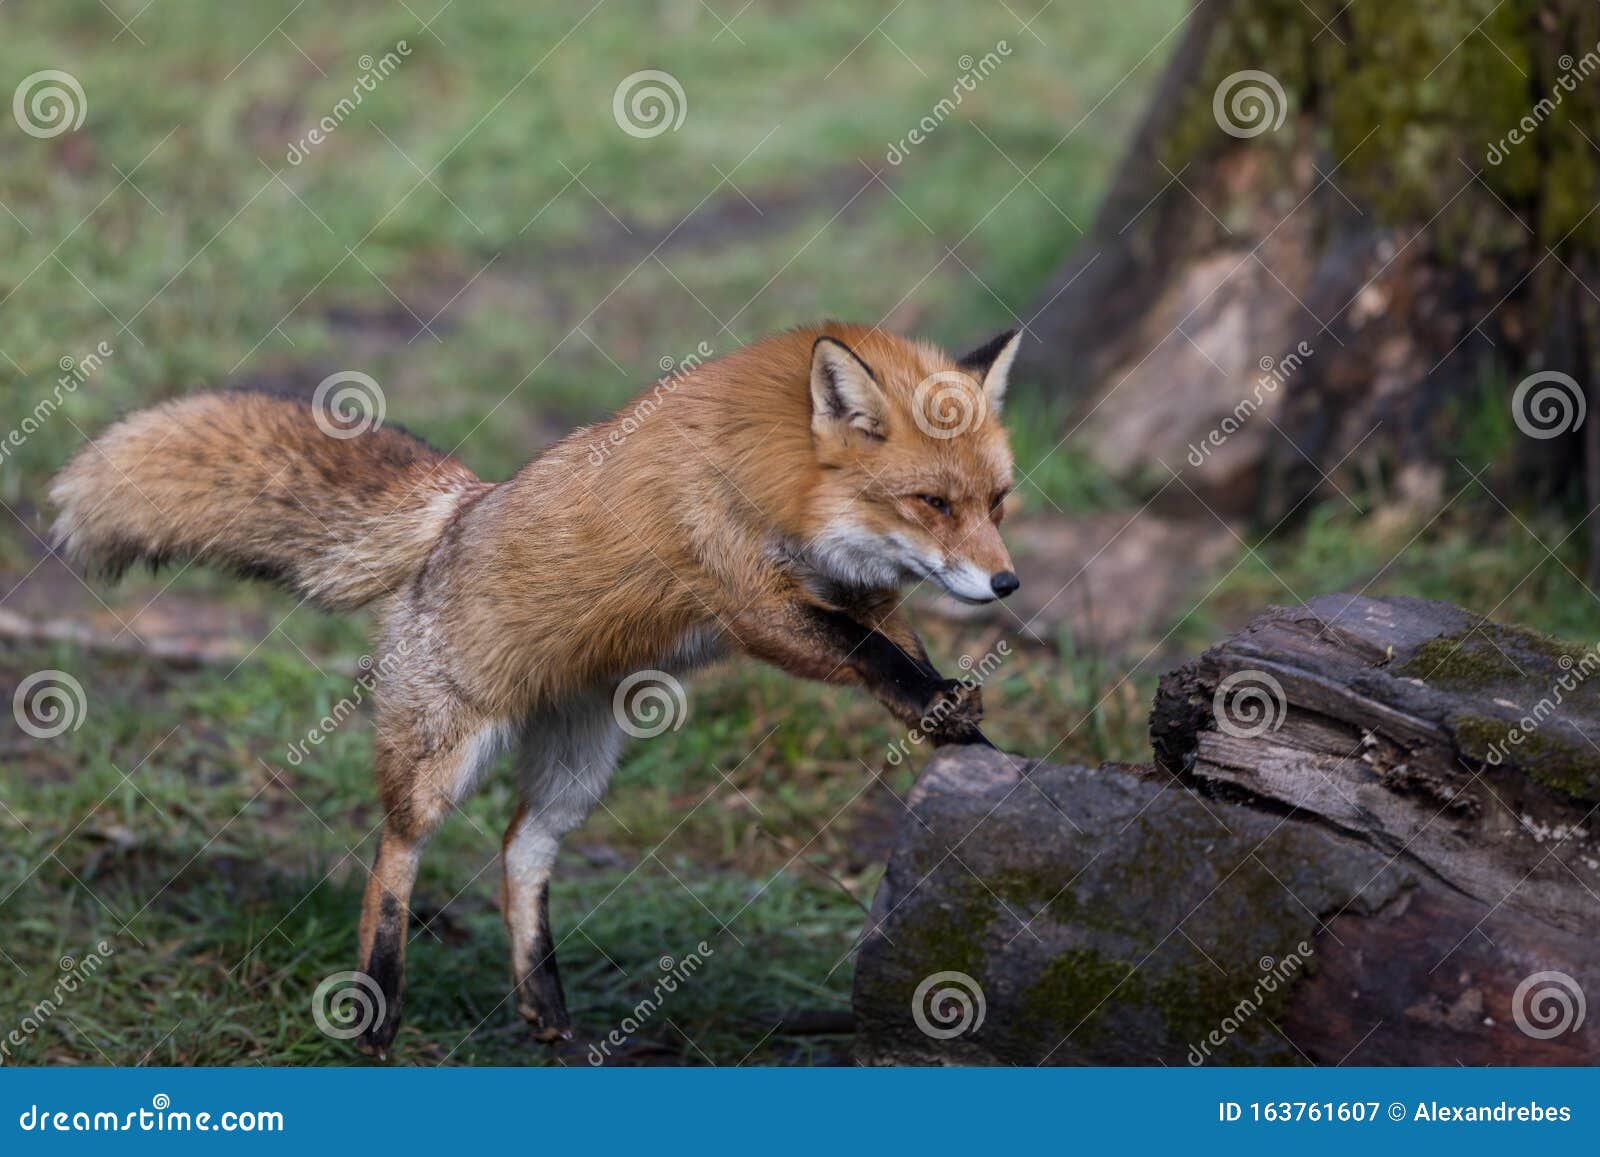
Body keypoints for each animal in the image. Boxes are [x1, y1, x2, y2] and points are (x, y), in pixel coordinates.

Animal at [48, 321, 1024, 1056]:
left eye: (998, 501)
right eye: (933, 502)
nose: (1007, 584)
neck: (777, 480)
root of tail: (454, 511)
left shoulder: (863, 593)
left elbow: (894, 650)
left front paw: (955, 720)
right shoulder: (753, 603)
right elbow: (864, 653)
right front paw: (939, 708)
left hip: (578, 766)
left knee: (520, 851)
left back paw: (547, 1010)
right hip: (443, 755)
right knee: (394, 853)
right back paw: (377, 1011)